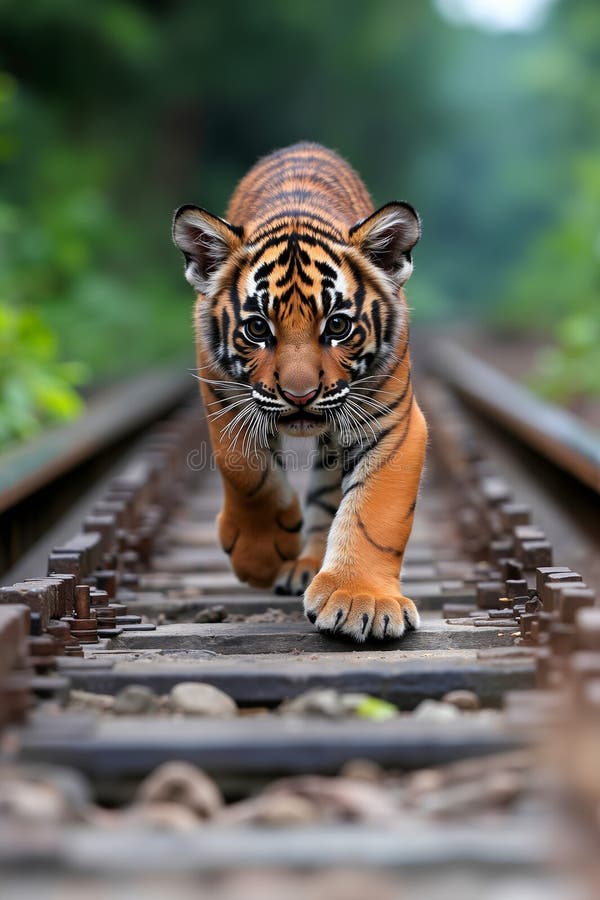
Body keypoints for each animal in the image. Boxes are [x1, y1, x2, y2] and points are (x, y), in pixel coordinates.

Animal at [172, 142, 427, 642]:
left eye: (337, 325)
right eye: (257, 329)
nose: (299, 395)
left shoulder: (395, 424)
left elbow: (372, 513)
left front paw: (362, 599)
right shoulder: (222, 394)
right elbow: (244, 468)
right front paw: (260, 556)